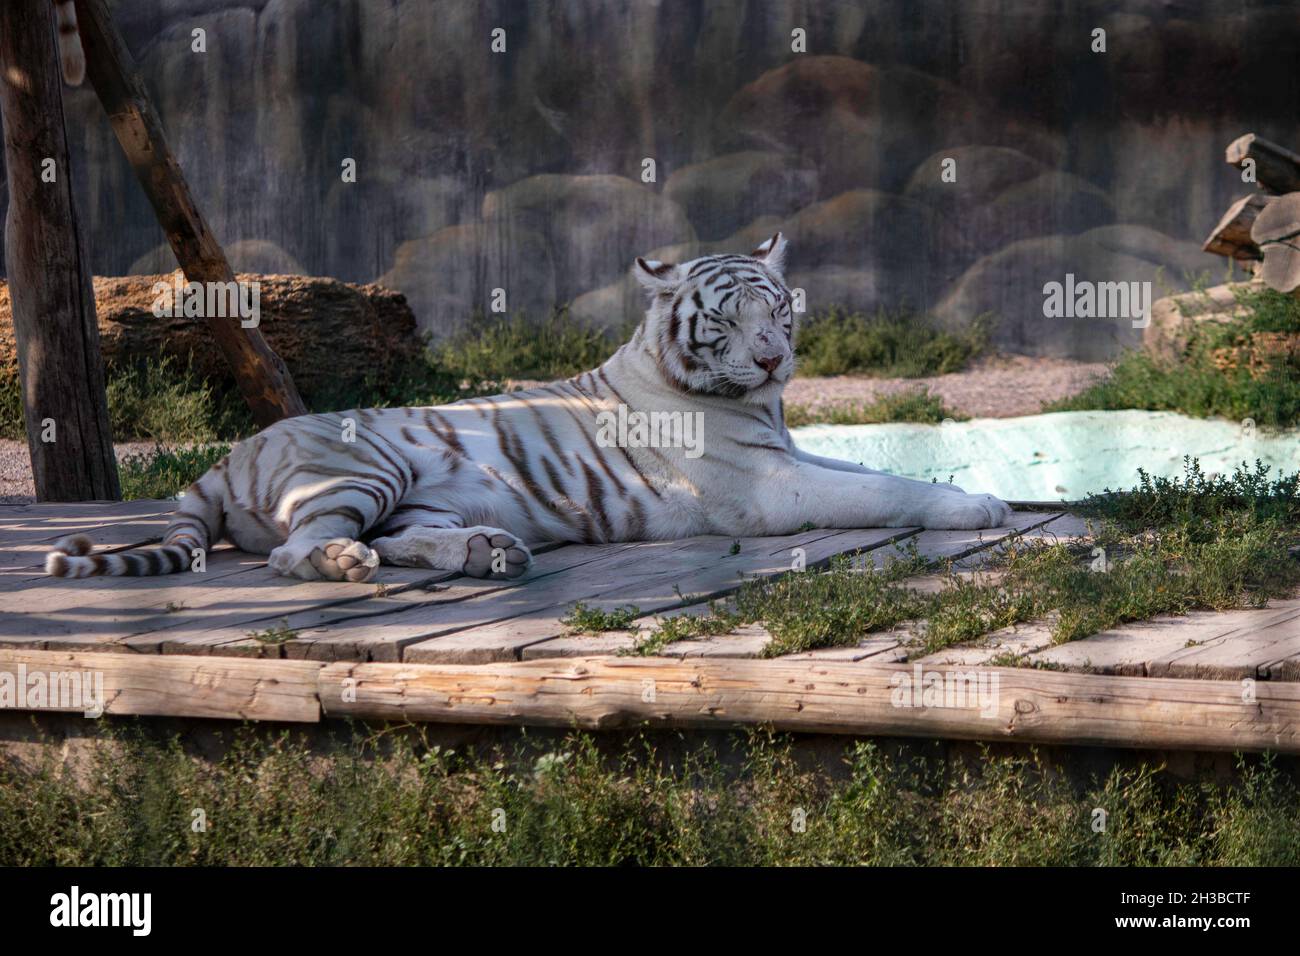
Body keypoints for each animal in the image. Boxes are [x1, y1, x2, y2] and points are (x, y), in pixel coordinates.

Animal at [45, 233, 1013, 582]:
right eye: (728, 320)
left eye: (777, 308)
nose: (775, 357)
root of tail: (226, 455)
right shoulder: (767, 486)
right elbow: (883, 489)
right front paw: (982, 506)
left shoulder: (795, 455)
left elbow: (867, 464)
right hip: (359, 466)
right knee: (295, 551)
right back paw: (351, 565)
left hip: (419, 495)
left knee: (402, 538)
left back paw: (487, 551)